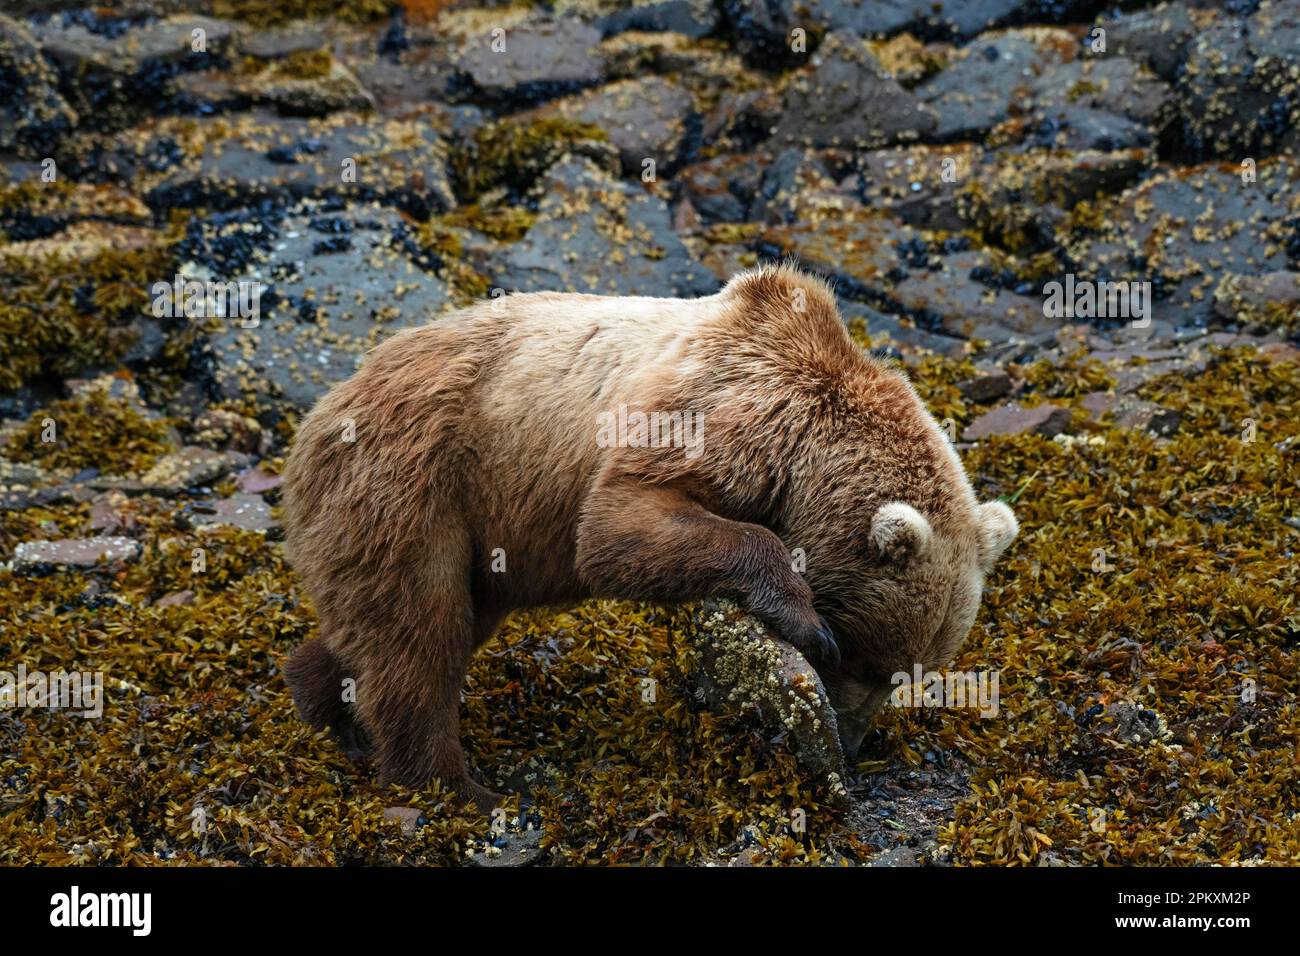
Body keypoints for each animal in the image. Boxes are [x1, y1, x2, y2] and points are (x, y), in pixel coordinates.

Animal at [281, 263, 1018, 811]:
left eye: (906, 674)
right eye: (865, 660)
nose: (857, 740)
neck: (806, 452)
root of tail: (325, 406)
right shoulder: (720, 408)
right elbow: (619, 521)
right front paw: (801, 616)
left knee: (411, 623)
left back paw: (327, 707)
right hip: (415, 481)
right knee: (419, 632)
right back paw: (457, 790)